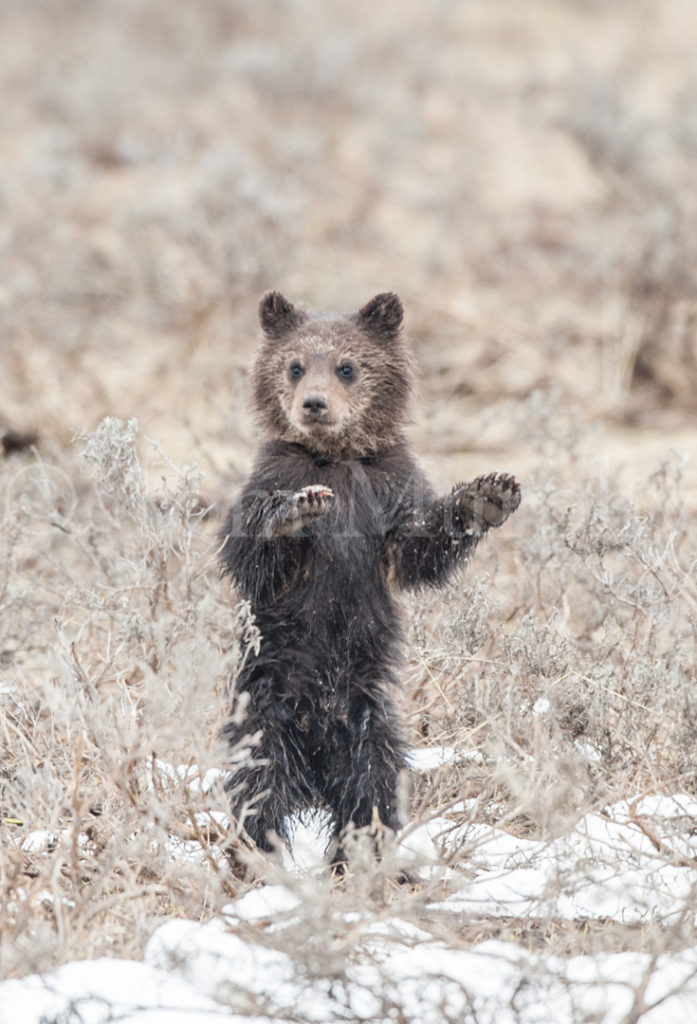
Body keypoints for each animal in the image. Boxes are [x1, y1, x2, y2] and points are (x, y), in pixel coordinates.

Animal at [219, 291, 521, 869]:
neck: (336, 458)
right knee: (258, 785)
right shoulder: (273, 474)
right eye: (295, 366)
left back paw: (358, 857)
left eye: (347, 366)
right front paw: (296, 510)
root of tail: (315, 763)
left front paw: (489, 493)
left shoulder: (389, 487)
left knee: (375, 788)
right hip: (265, 704)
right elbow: (249, 551)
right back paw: (260, 857)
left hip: (371, 716)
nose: (314, 404)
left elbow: (421, 546)